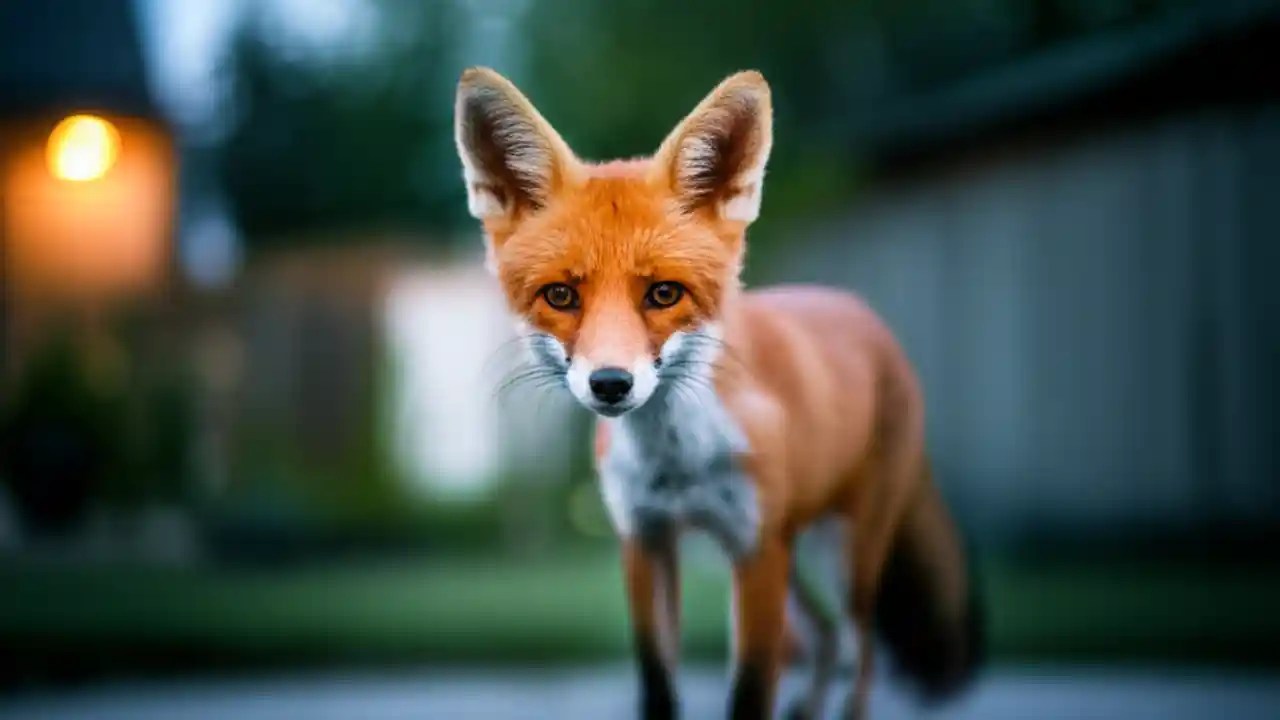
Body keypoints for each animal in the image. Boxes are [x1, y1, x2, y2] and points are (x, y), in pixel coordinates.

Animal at [454, 67, 982, 719]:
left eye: (663, 293)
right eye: (560, 296)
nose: (611, 384)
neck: (677, 461)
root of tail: (862, 312)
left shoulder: (755, 549)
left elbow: (752, 687)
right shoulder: (647, 543)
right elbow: (657, 684)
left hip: (845, 553)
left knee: (861, 651)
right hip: (792, 551)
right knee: (828, 640)